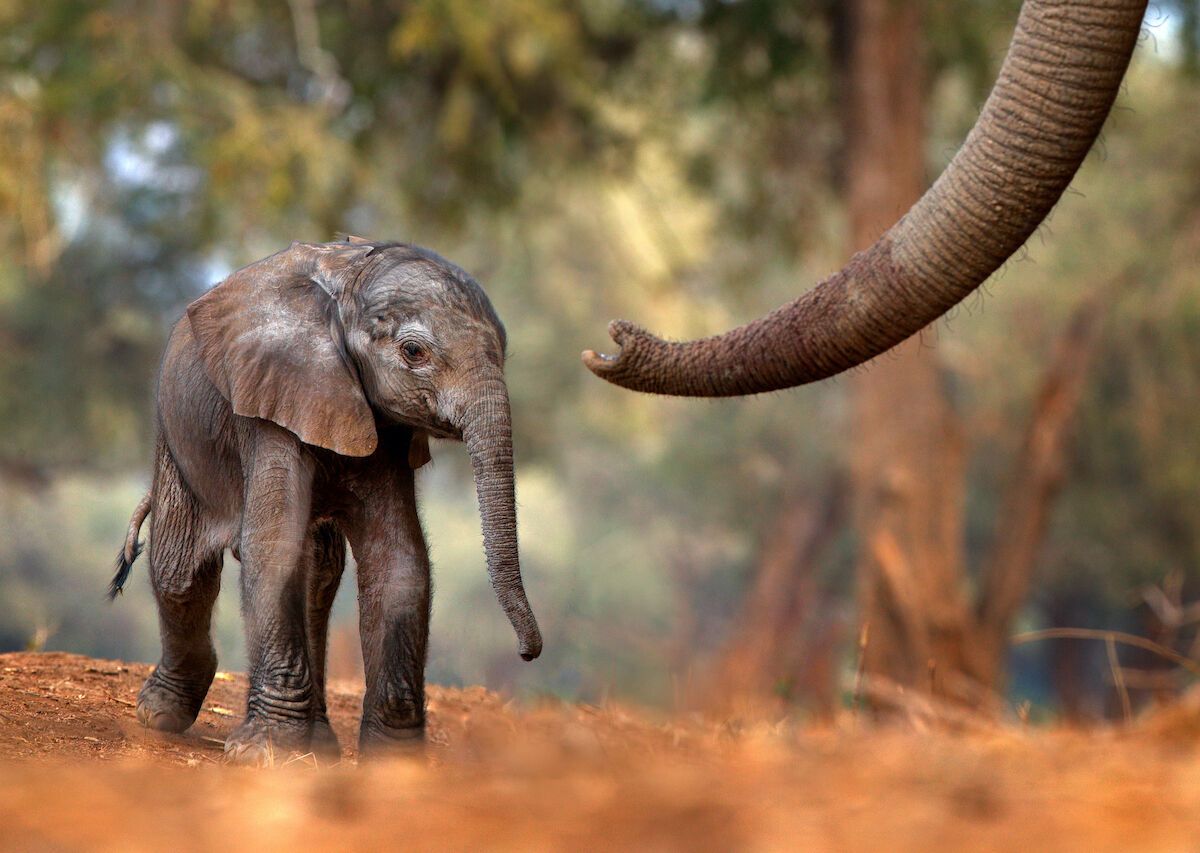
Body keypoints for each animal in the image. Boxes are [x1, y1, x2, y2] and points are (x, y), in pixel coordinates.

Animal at [110, 237, 541, 764]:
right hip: (178, 432)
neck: (349, 290)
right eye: (413, 351)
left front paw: (395, 761)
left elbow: (398, 561)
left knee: (318, 575)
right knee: (180, 569)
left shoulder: (386, 428)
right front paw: (260, 754)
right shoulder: (271, 402)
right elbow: (274, 547)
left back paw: (317, 744)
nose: (527, 654)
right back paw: (160, 715)